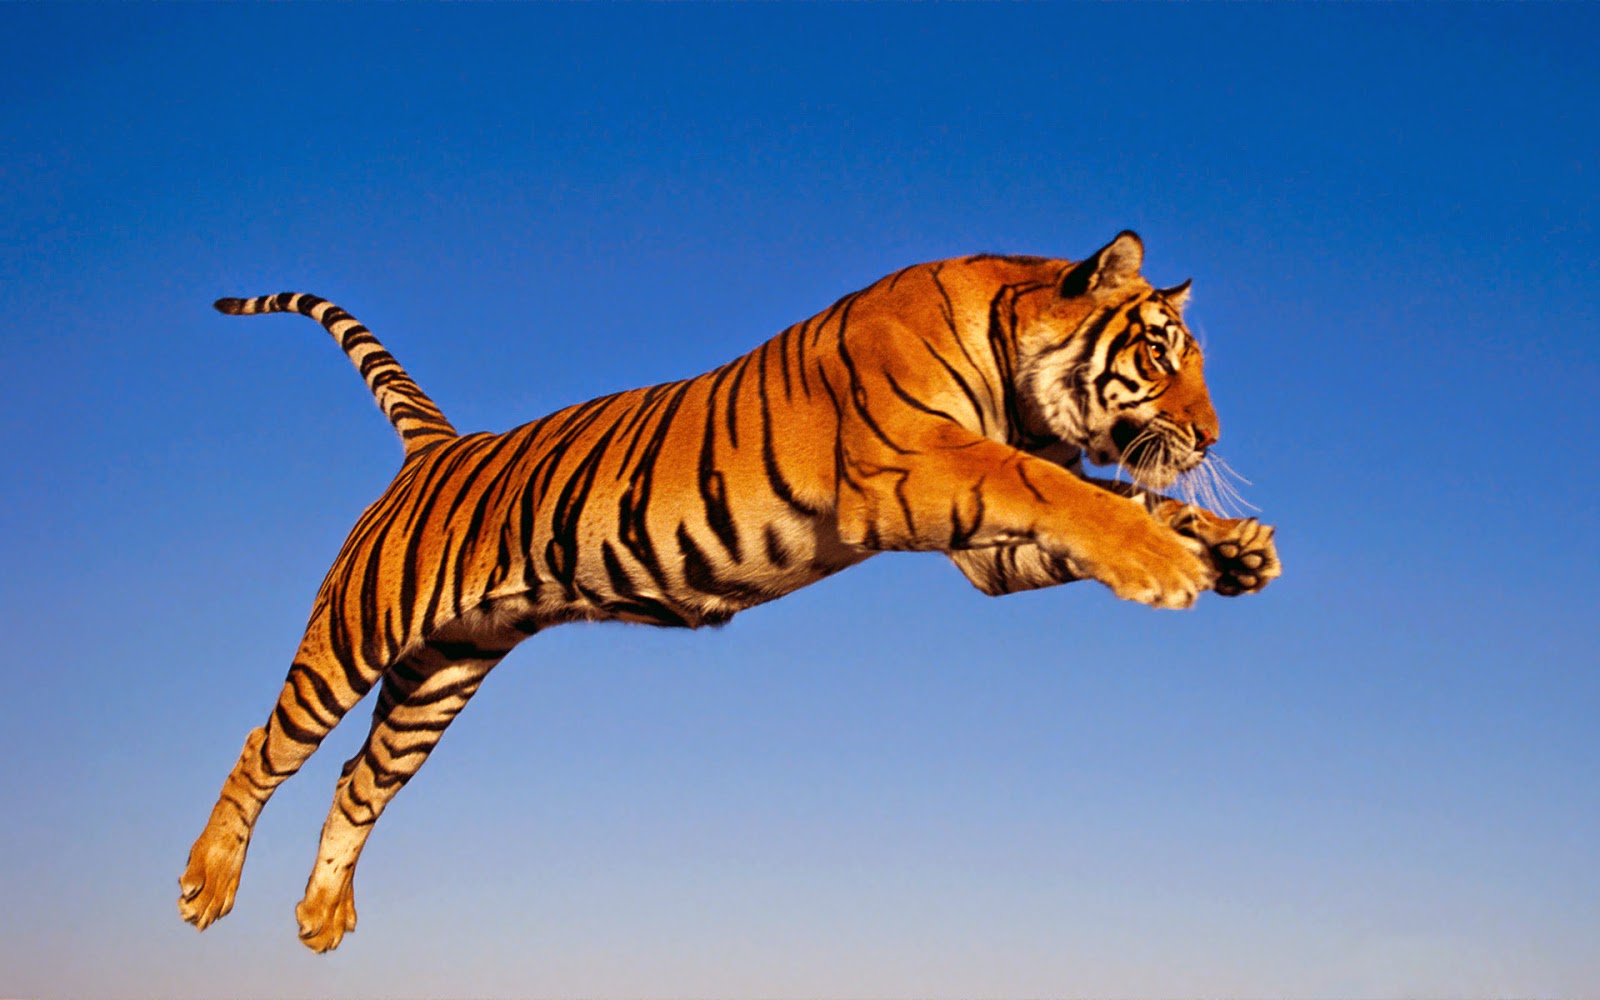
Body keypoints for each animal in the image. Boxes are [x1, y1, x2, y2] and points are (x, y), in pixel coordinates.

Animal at [178, 231, 1280, 952]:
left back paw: (321, 917)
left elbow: (1111, 498)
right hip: (355, 634)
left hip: (441, 674)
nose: (1212, 437)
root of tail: (439, 445)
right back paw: (205, 883)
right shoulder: (921, 470)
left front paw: (1232, 547)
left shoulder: (981, 551)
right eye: (1157, 354)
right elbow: (1067, 490)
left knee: (358, 780)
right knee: (266, 745)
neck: (1013, 372)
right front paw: (1167, 563)